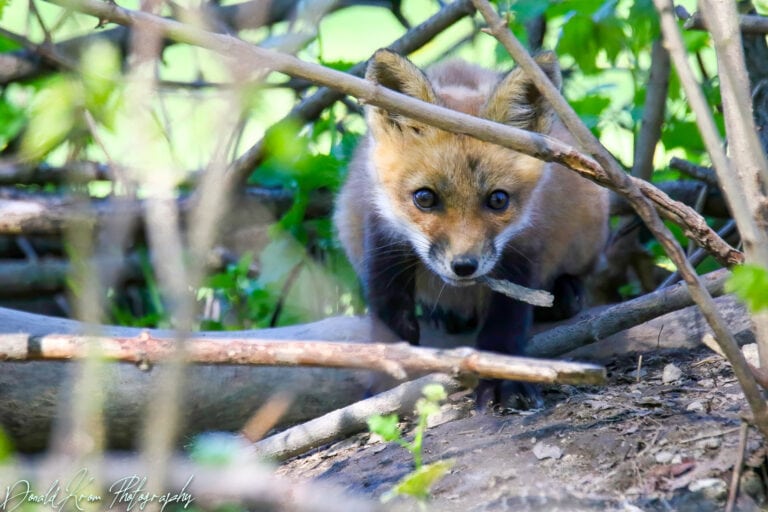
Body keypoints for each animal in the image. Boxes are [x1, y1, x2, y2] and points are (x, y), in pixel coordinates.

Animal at [334, 49, 609, 409]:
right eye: (424, 198)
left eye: (498, 199)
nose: (464, 266)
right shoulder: (383, 237)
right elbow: (391, 326)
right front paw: (386, 387)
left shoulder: (522, 247)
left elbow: (505, 326)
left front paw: (503, 380)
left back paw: (566, 293)